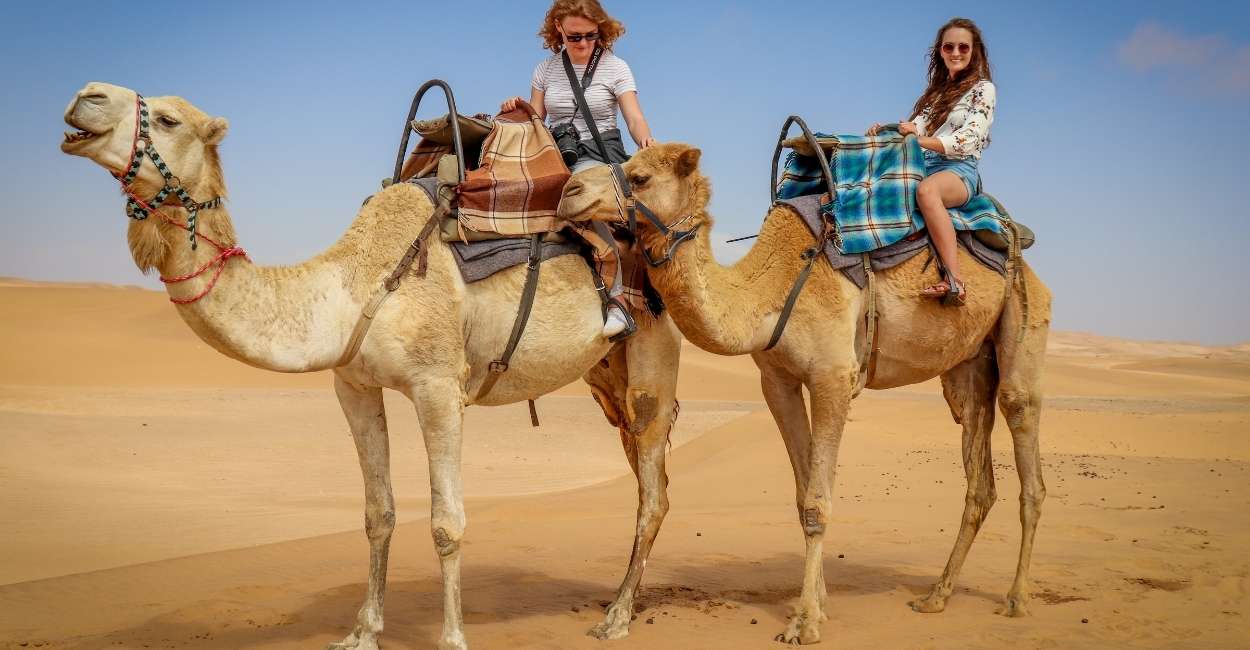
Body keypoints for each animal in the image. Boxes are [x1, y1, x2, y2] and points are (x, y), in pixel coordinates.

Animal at [59, 82, 682, 650]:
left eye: (167, 119)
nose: (85, 97)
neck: (352, 284)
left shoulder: (438, 385)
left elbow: (446, 522)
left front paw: (452, 638)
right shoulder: (353, 386)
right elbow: (377, 512)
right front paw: (362, 631)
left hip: (652, 350)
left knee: (652, 492)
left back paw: (616, 619)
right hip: (606, 375)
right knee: (646, 477)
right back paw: (620, 602)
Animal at [557, 143, 1052, 644]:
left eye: (638, 177)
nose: (568, 191)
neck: (768, 291)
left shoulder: (833, 376)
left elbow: (817, 503)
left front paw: (804, 623)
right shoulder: (777, 381)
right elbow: (801, 497)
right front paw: (819, 606)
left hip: (1025, 321)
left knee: (1023, 435)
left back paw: (1017, 598)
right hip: (968, 367)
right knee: (979, 471)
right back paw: (936, 597)